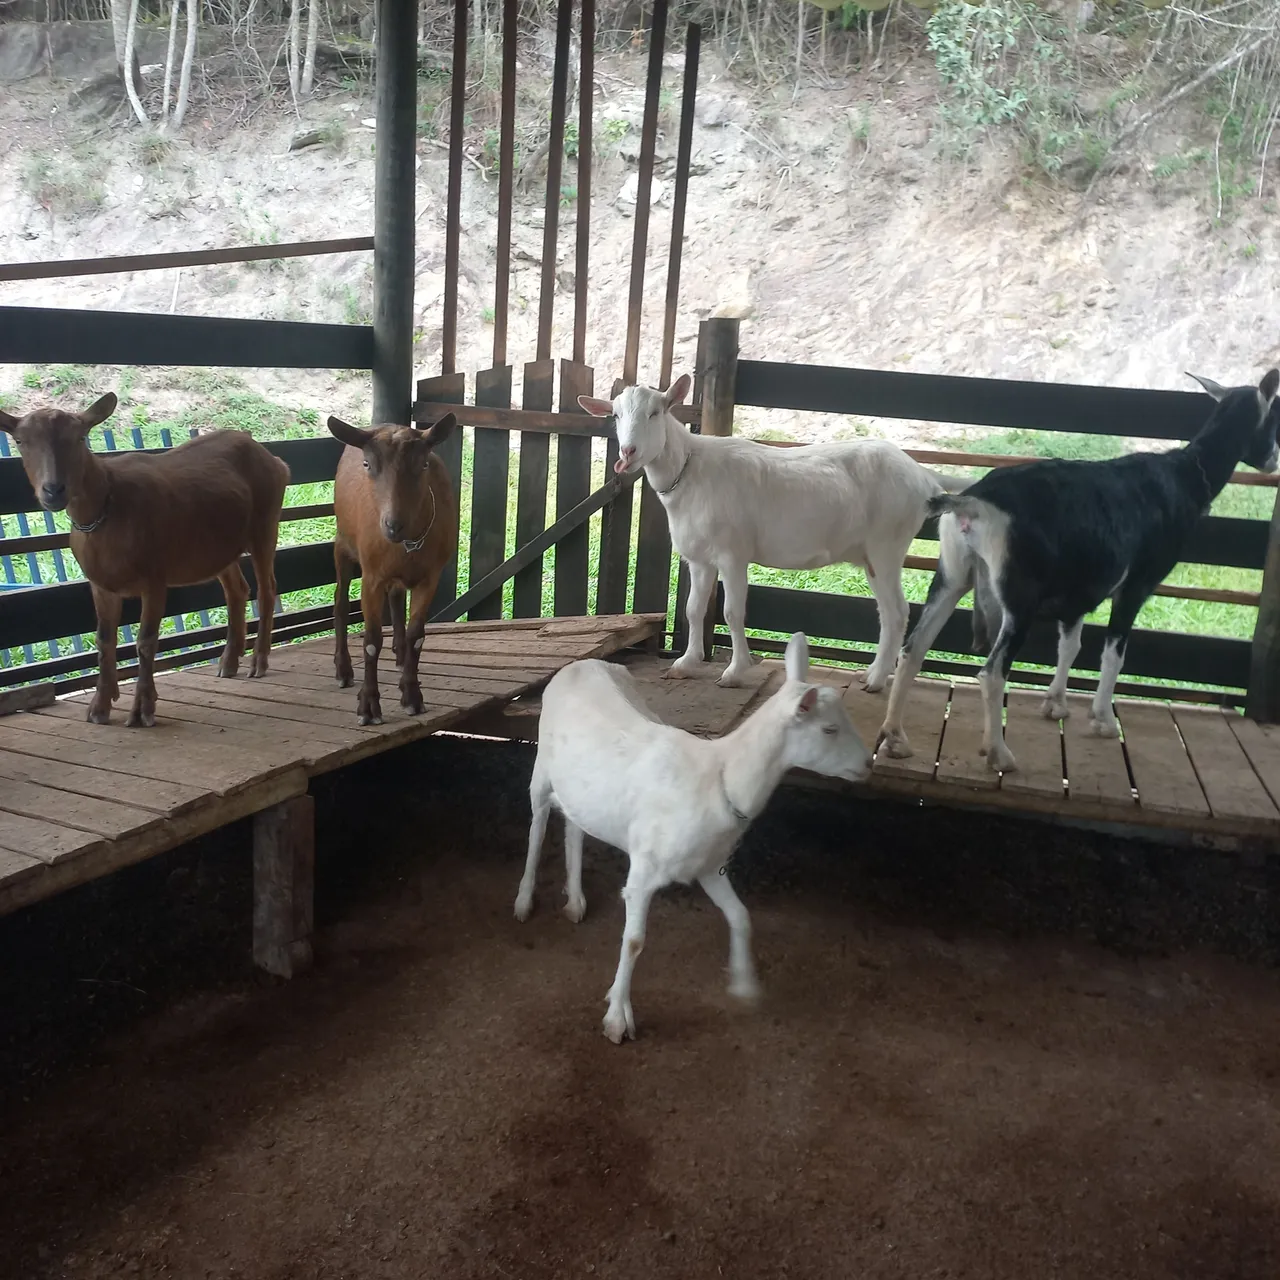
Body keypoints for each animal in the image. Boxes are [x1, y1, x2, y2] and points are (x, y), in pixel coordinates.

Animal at [0, 394, 289, 727]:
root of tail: (274, 460)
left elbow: (146, 640)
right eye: (19, 441)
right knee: (237, 590)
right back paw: (228, 662)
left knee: (267, 589)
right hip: (221, 544)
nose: (53, 490)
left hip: (265, 524)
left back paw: (258, 661)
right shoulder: (101, 585)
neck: (109, 507)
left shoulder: (154, 578)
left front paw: (142, 710)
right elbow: (104, 640)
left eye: (80, 437)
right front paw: (100, 707)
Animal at [328, 413, 459, 725]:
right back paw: (343, 670)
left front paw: (411, 696)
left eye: (423, 464)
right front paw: (368, 706)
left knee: (397, 597)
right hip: (342, 542)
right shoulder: (371, 576)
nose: (392, 525)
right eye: (367, 464)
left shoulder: (430, 577)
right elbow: (371, 640)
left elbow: (416, 635)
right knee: (340, 602)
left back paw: (399, 657)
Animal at [513, 632, 872, 1044]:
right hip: (542, 769)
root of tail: (580, 665)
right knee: (537, 825)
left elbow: (741, 916)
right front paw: (617, 1018)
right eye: (829, 729)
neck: (720, 776)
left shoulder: (709, 865)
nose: (869, 763)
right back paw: (524, 902)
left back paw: (575, 901)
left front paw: (745, 986)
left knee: (574, 825)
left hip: (583, 790)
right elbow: (634, 941)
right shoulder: (645, 868)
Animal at [579, 375, 959, 692]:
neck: (690, 469)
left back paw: (877, 681)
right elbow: (693, 609)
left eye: (656, 412)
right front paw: (686, 664)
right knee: (888, 613)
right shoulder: (699, 558)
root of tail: (923, 476)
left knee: (897, 612)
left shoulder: (733, 553)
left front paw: (734, 672)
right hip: (872, 554)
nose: (628, 452)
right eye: (615, 415)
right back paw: (872, 674)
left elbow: (732, 612)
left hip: (887, 543)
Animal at [878, 368, 1280, 773]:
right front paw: (1102, 720)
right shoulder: (1136, 584)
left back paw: (895, 738)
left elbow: (1070, 645)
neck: (1185, 477)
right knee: (991, 672)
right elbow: (1113, 653)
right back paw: (999, 753)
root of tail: (973, 503)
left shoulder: (1079, 589)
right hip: (1020, 596)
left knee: (913, 649)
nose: (1273, 461)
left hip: (952, 574)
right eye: (1273, 419)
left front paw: (1055, 703)